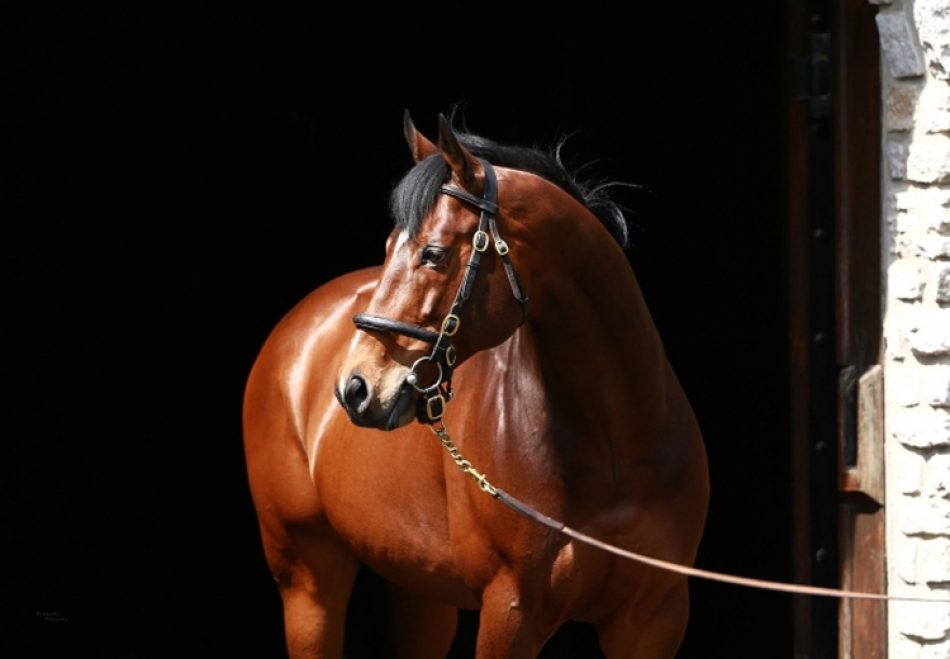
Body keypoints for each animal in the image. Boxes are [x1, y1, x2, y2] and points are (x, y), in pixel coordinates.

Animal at [242, 110, 710, 658]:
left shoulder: (653, 620)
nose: (355, 389)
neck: (616, 446)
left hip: (420, 586)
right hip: (308, 579)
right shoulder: (511, 611)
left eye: (434, 254)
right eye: (389, 248)